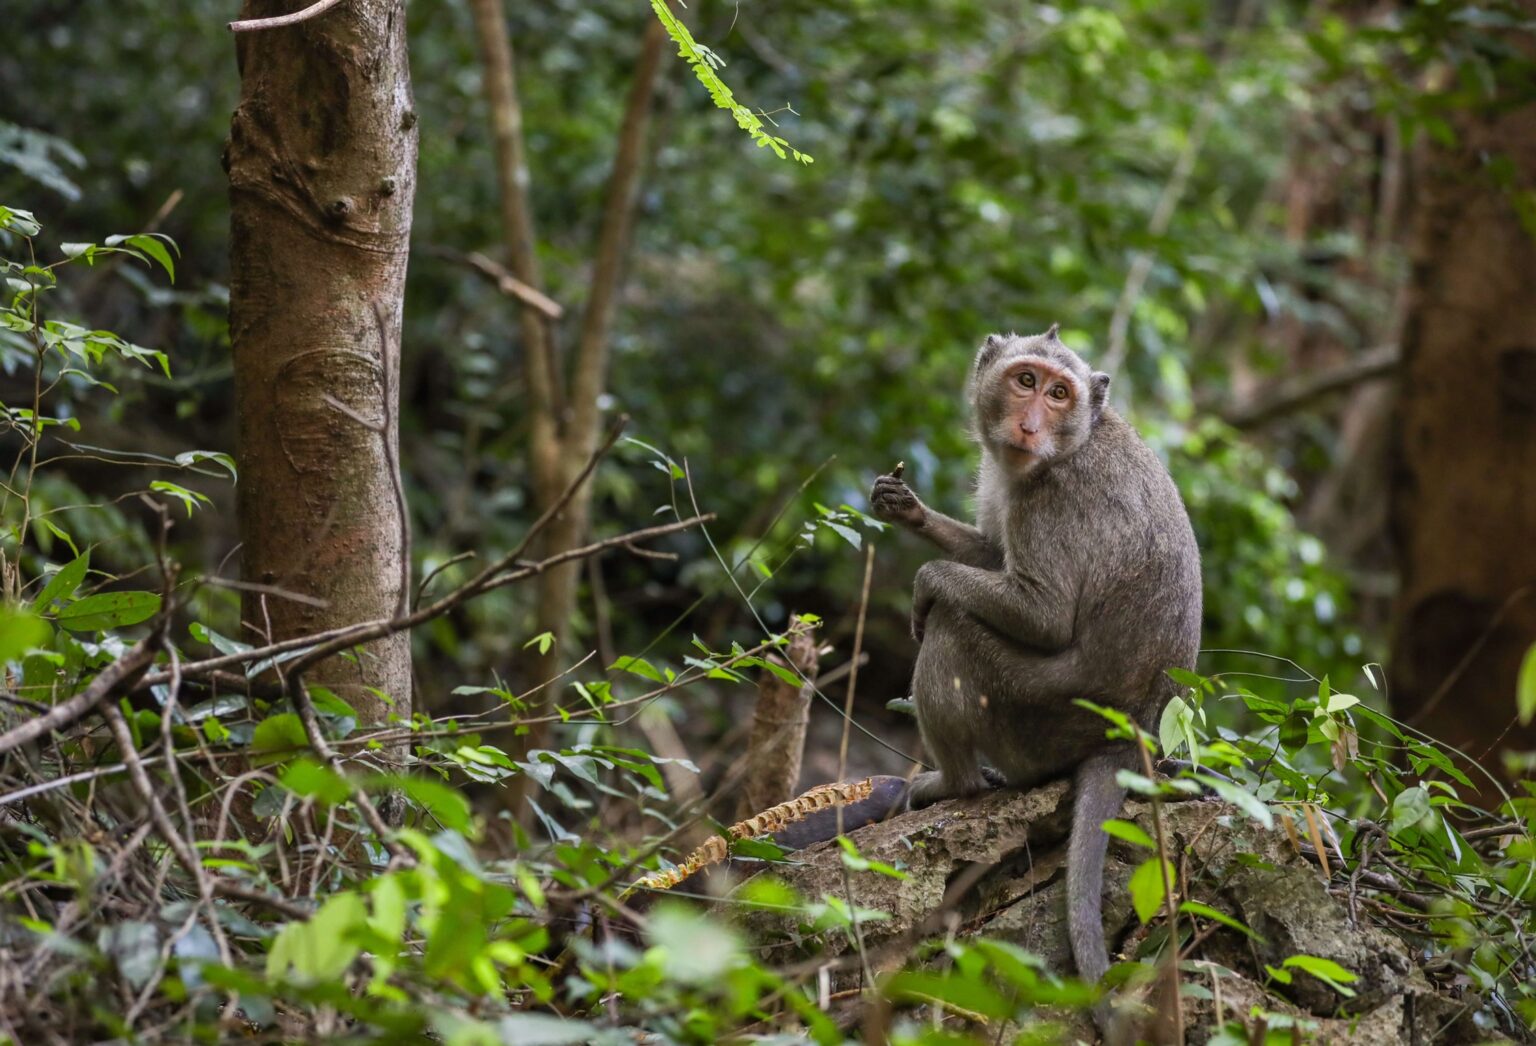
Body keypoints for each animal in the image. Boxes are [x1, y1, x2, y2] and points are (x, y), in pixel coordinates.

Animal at [869, 325, 1202, 1004]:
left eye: (1058, 394)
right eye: (1026, 381)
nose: (1028, 425)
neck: (1074, 442)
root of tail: (1128, 738)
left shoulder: (1055, 501)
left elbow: (1043, 614)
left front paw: (928, 578)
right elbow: (991, 555)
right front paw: (907, 508)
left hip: (1034, 720)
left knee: (954, 628)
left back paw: (955, 784)